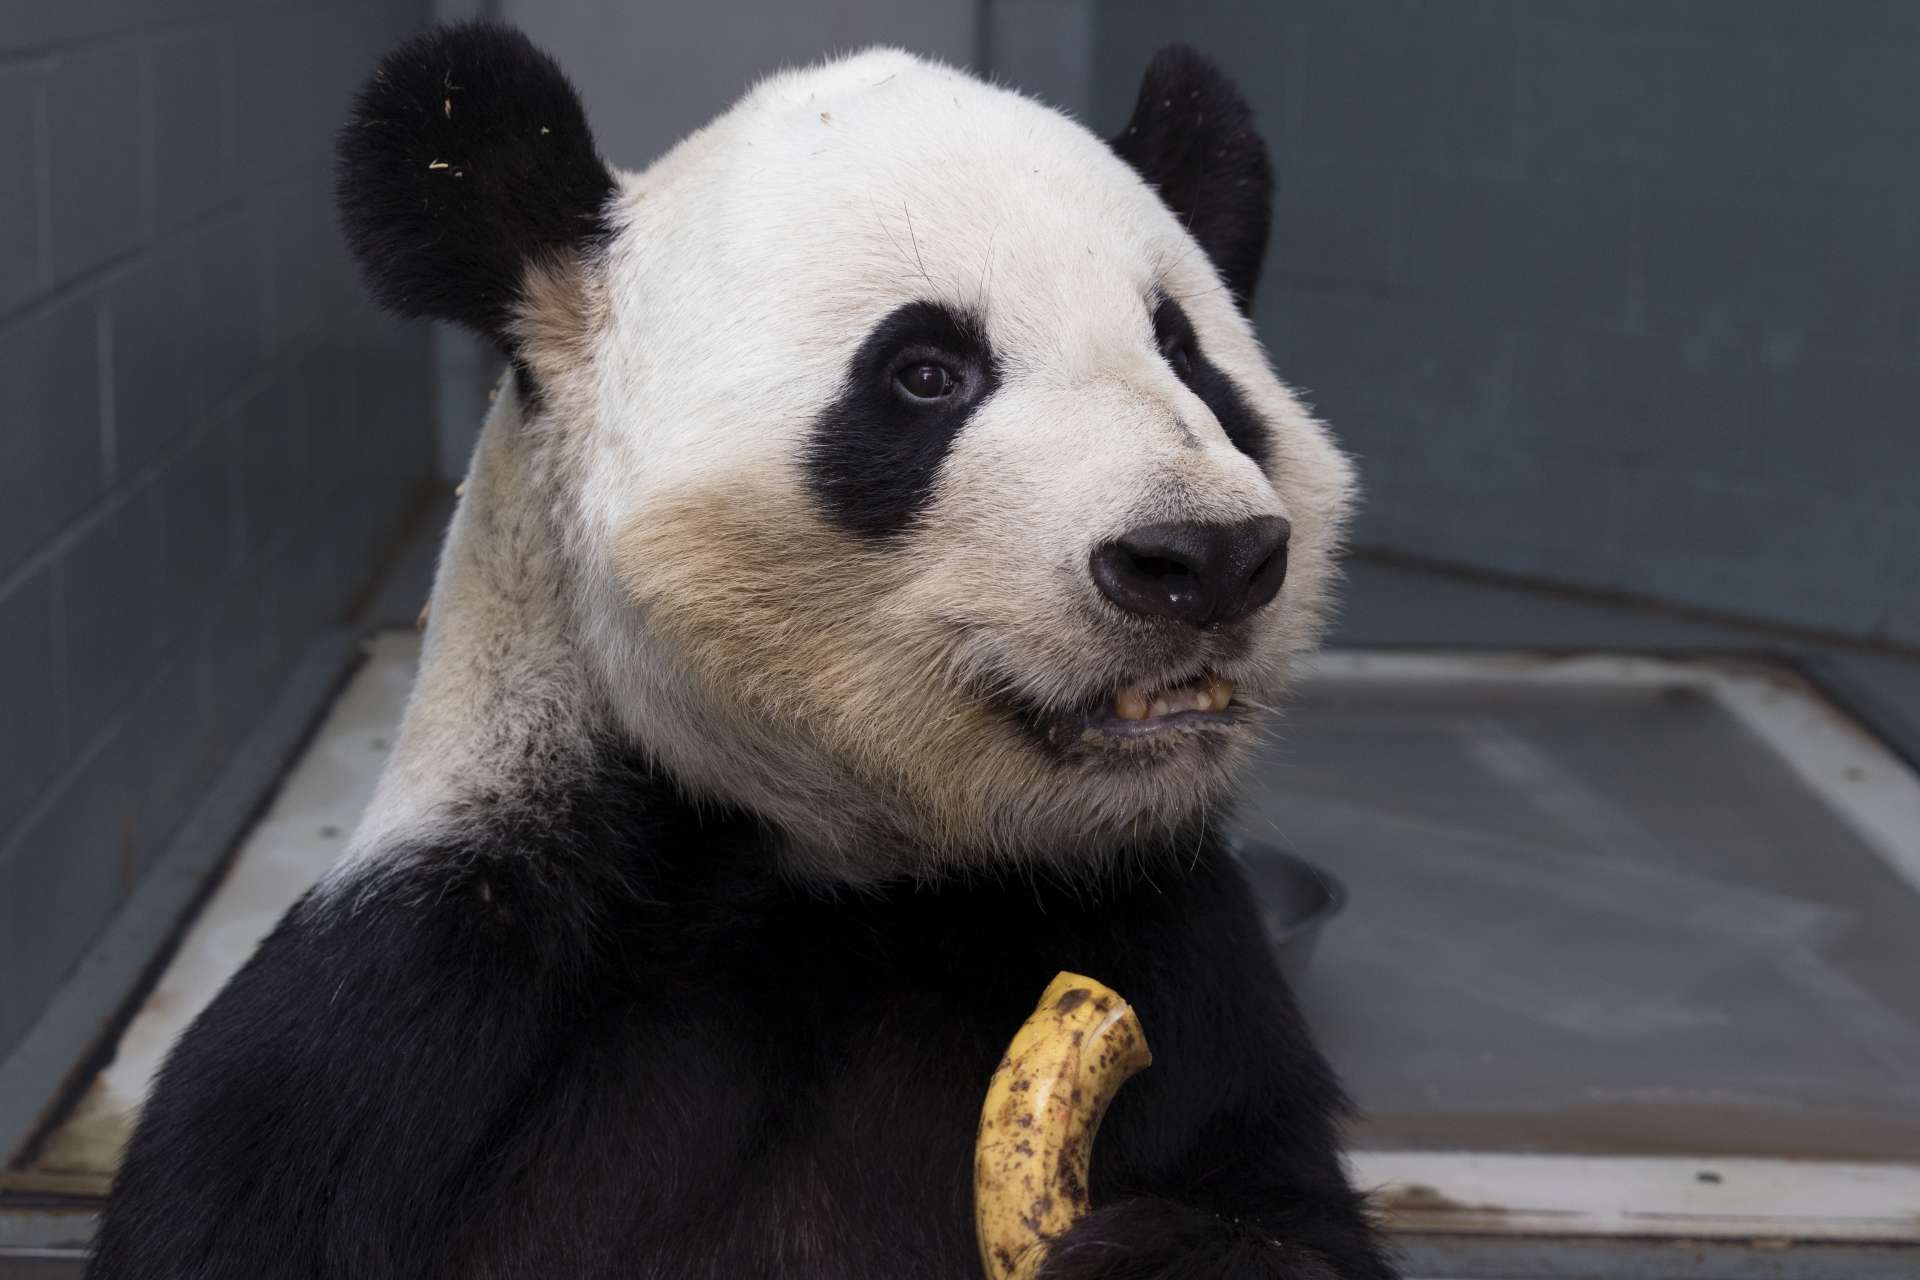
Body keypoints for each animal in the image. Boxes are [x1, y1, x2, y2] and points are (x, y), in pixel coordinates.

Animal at [90, 21, 1388, 1280]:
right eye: (926, 372)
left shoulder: (1178, 959)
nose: (1203, 556)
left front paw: (1172, 1251)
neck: (847, 883)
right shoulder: (409, 1024)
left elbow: (1277, 1200)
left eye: (1188, 355)